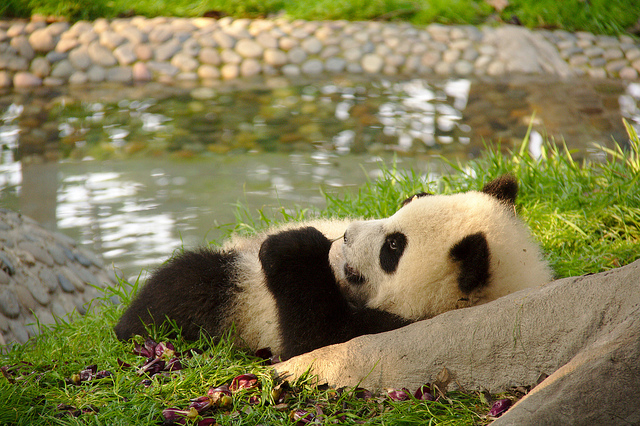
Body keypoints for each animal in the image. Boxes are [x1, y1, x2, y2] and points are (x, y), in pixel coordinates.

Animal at [114, 175, 552, 360]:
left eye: (393, 247)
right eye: (411, 197)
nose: (344, 236)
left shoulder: (396, 332)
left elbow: (314, 342)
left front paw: (294, 248)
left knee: (188, 286)